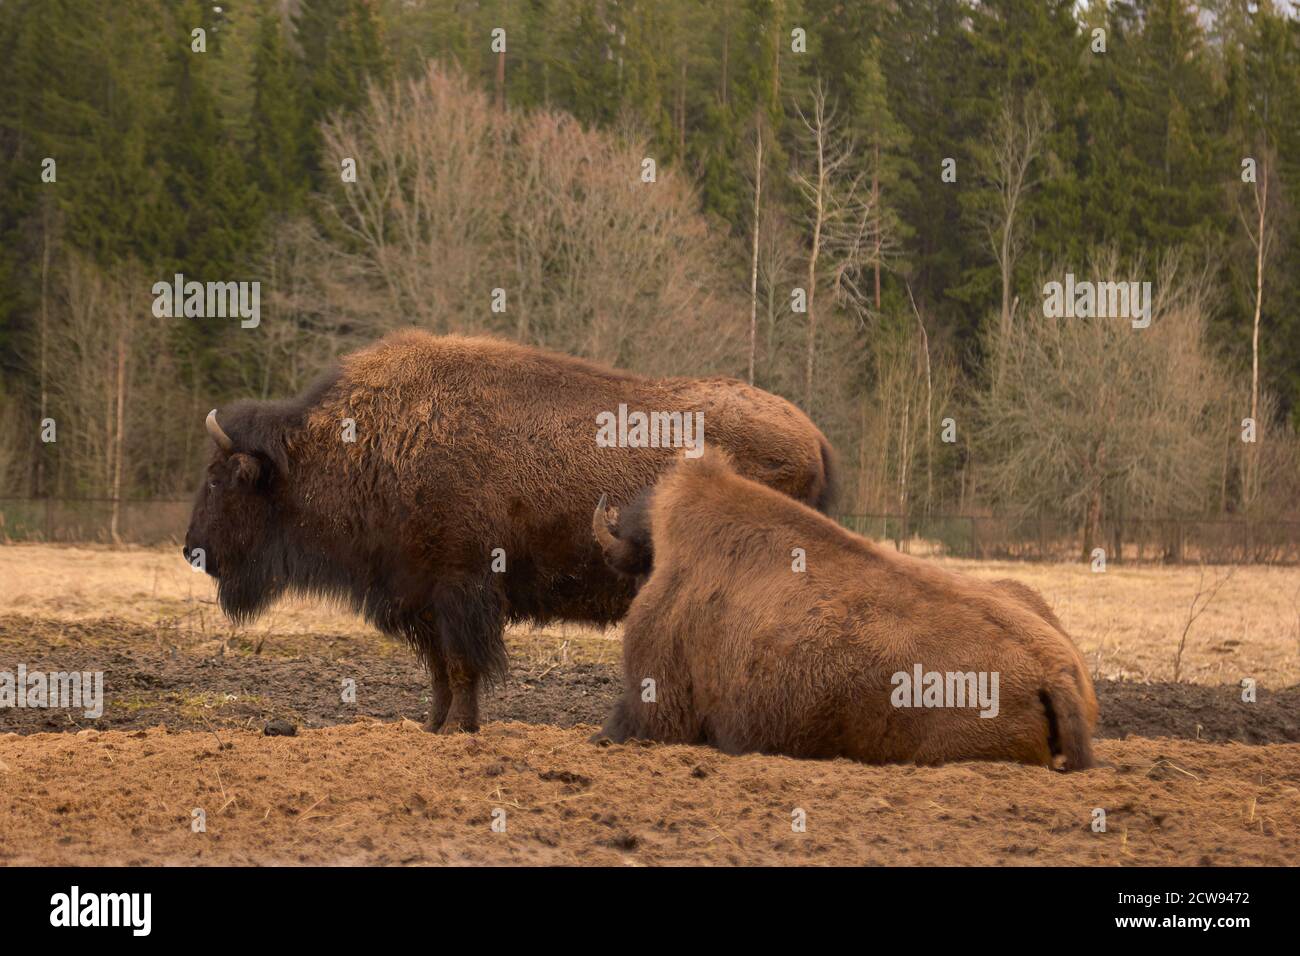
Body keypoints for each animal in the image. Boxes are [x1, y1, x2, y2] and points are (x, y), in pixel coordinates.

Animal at [183, 330, 836, 732]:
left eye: (218, 480)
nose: (193, 550)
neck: (367, 443)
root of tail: (811, 434)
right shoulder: (423, 600)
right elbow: (439, 670)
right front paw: (434, 724)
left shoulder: (461, 588)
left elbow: (463, 664)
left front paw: (460, 728)